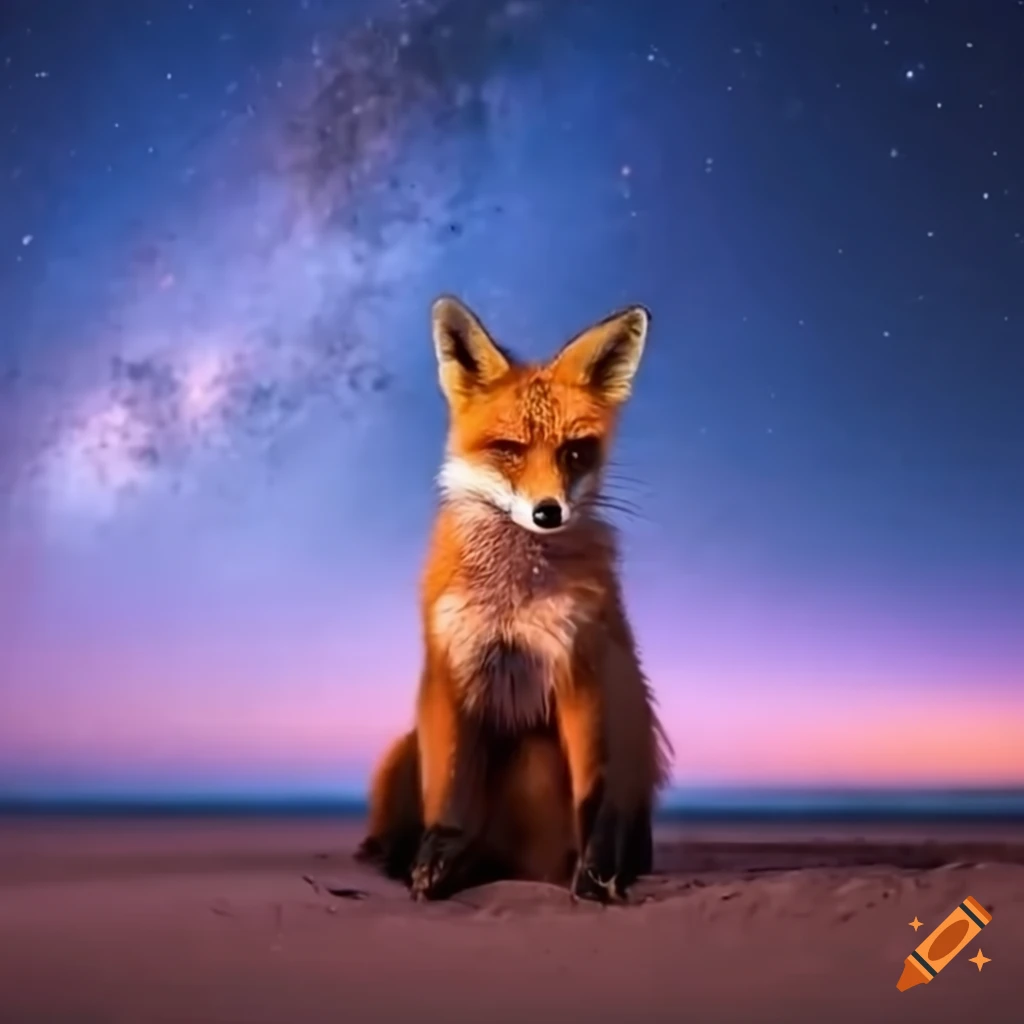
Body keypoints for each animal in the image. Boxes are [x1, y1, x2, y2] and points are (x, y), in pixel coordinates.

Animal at [356, 295, 672, 902]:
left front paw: (596, 874)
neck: (511, 601)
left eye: (575, 453)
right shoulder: (449, 667)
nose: (548, 512)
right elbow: (450, 787)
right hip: (404, 749)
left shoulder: (582, 669)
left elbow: (594, 793)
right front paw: (434, 862)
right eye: (508, 450)